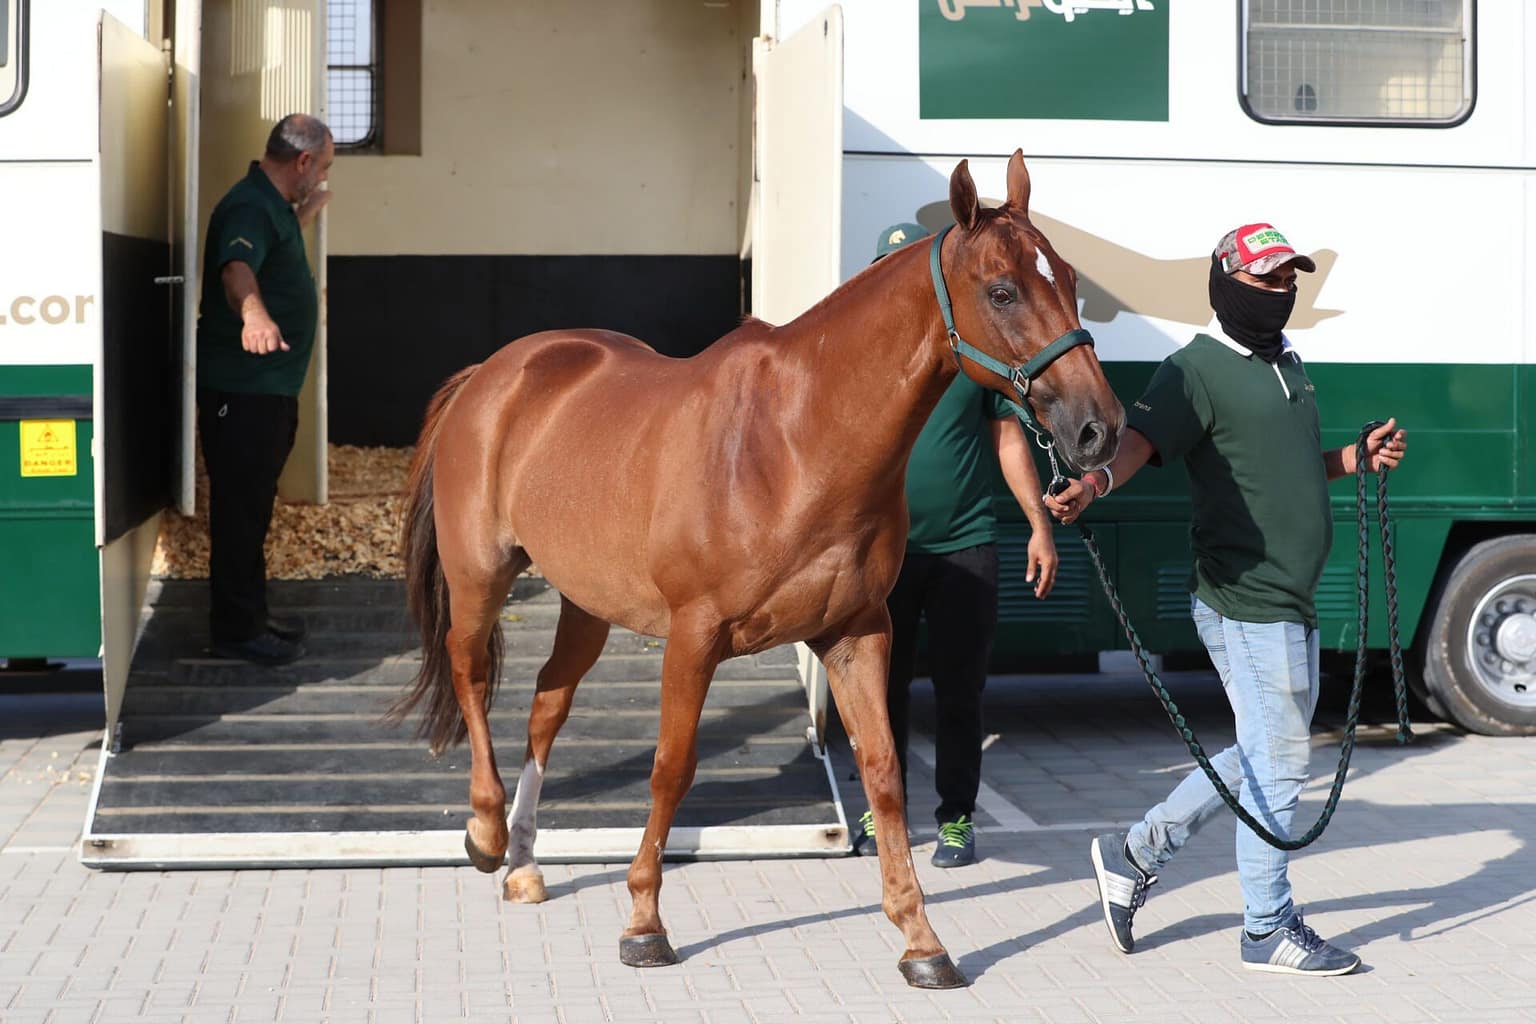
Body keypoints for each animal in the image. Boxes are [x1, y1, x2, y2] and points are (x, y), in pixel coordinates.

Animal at [388, 151, 1124, 989]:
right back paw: (484, 833)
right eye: (1002, 290)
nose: (1099, 430)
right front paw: (644, 923)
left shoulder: (857, 633)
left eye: (1069, 278)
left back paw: (522, 862)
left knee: (547, 704)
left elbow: (883, 771)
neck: (792, 443)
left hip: (587, 603)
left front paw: (921, 940)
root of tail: (496, 372)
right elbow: (672, 768)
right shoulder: (693, 636)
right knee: (471, 674)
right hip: (481, 577)